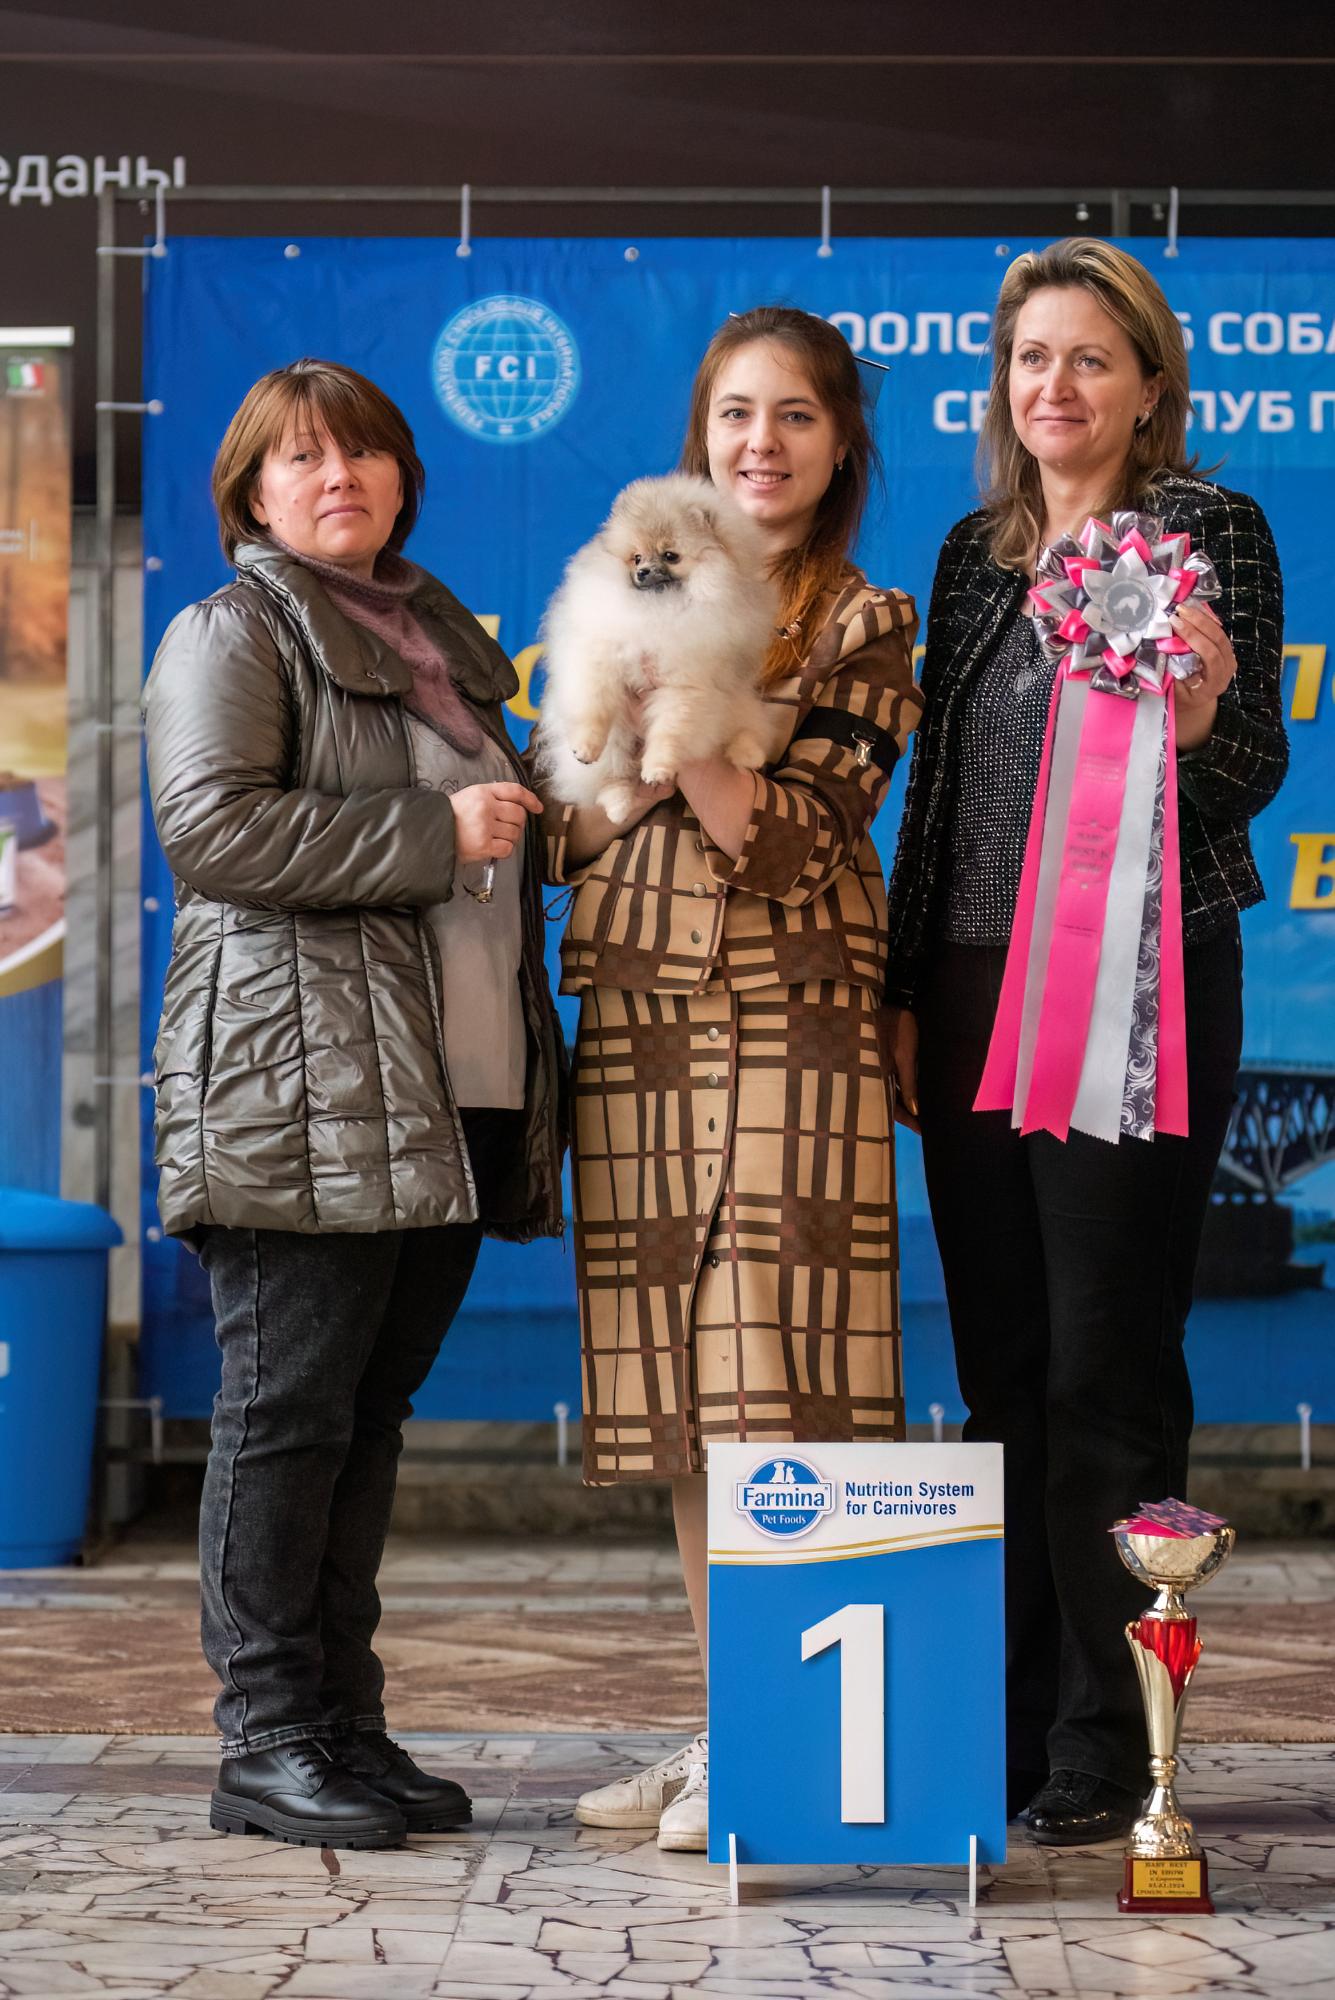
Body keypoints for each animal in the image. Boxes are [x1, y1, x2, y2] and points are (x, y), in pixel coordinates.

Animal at [531, 472, 783, 824]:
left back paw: (747, 754)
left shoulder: (684, 686)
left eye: (669, 555)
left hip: (739, 707)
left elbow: (669, 731)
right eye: (636, 557)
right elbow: (595, 709)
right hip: (620, 741)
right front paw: (585, 746)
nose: (642, 571)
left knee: (746, 731)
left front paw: (658, 769)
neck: (658, 608)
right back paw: (619, 806)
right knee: (612, 776)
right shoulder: (600, 658)